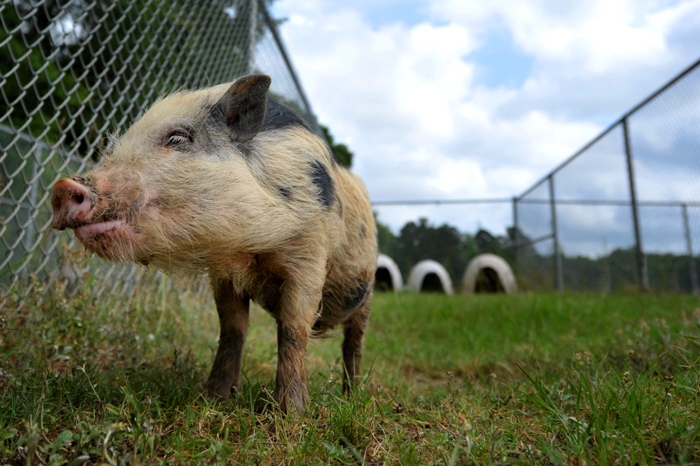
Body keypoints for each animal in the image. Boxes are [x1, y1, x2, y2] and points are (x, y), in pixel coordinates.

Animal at [51, 75, 377, 413]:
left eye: (177, 139)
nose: (63, 187)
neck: (253, 249)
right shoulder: (223, 275)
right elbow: (232, 331)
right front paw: (213, 399)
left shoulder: (310, 256)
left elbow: (293, 330)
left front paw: (291, 414)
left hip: (368, 290)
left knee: (354, 342)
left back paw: (353, 396)